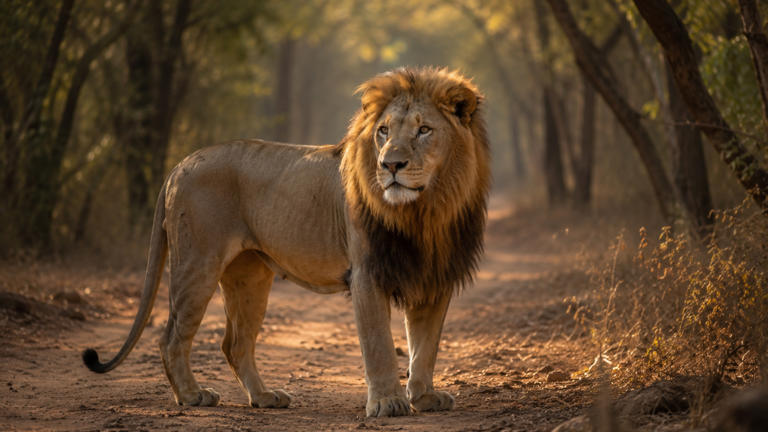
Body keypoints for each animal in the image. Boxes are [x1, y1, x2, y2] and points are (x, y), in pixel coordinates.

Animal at [83, 67, 490, 417]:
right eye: (384, 132)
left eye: (424, 130)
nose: (390, 165)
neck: (425, 211)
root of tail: (179, 165)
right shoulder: (367, 274)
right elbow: (379, 345)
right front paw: (388, 403)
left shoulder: (434, 276)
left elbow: (425, 346)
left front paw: (424, 397)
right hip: (197, 264)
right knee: (171, 337)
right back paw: (192, 395)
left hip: (249, 276)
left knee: (235, 344)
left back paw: (263, 397)